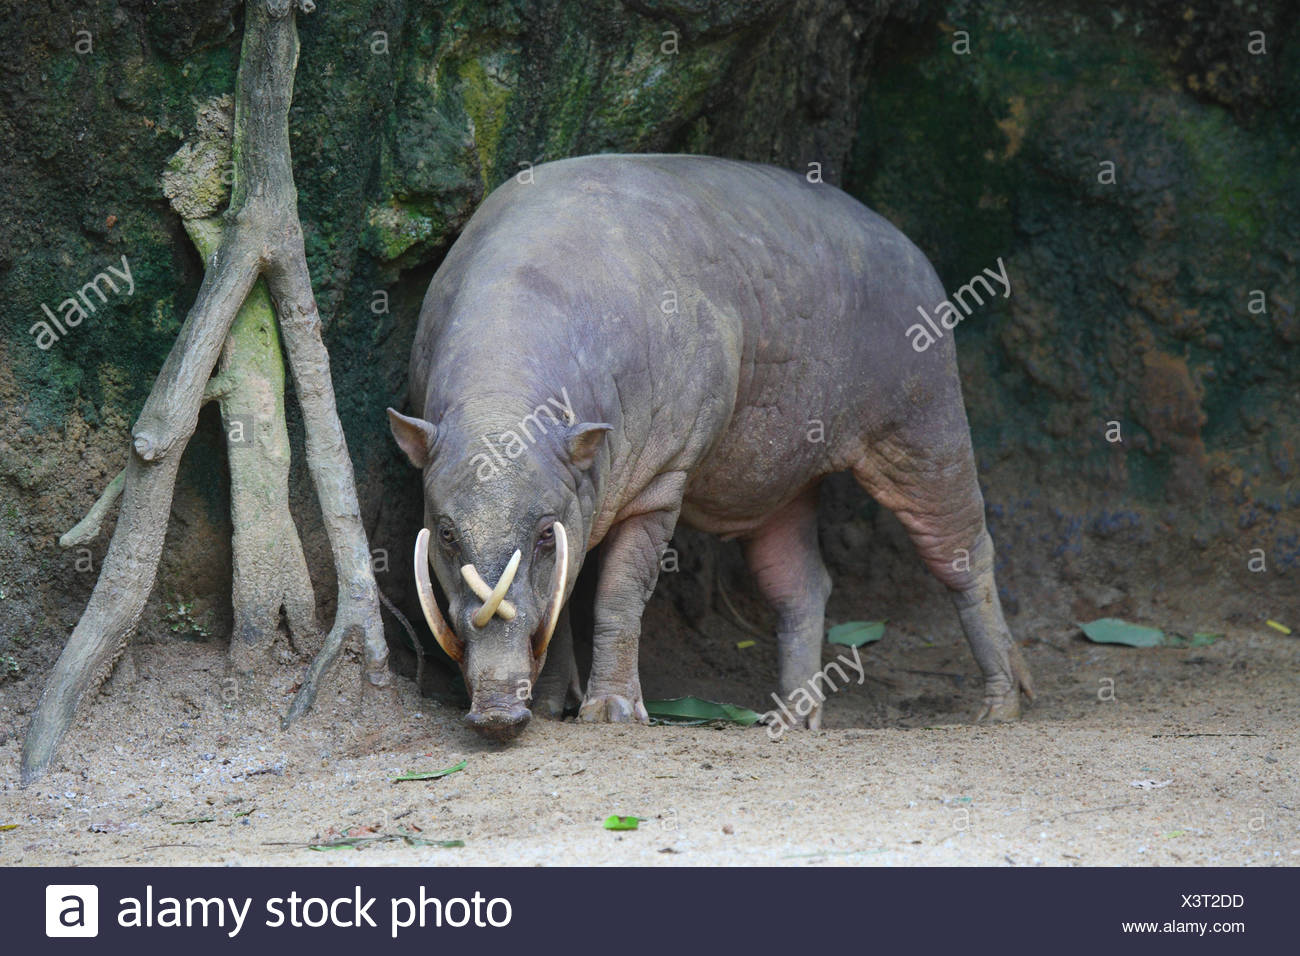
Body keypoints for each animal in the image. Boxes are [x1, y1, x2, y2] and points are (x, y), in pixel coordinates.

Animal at [388, 153, 1033, 740]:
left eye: (545, 536)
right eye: (446, 534)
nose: (497, 715)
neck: (502, 398)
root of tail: (910, 246)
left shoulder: (659, 477)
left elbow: (617, 594)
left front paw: (612, 712)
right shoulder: (580, 494)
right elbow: (560, 601)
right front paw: (549, 706)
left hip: (923, 416)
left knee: (964, 551)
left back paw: (1001, 703)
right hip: (783, 478)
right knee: (801, 584)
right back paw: (793, 717)